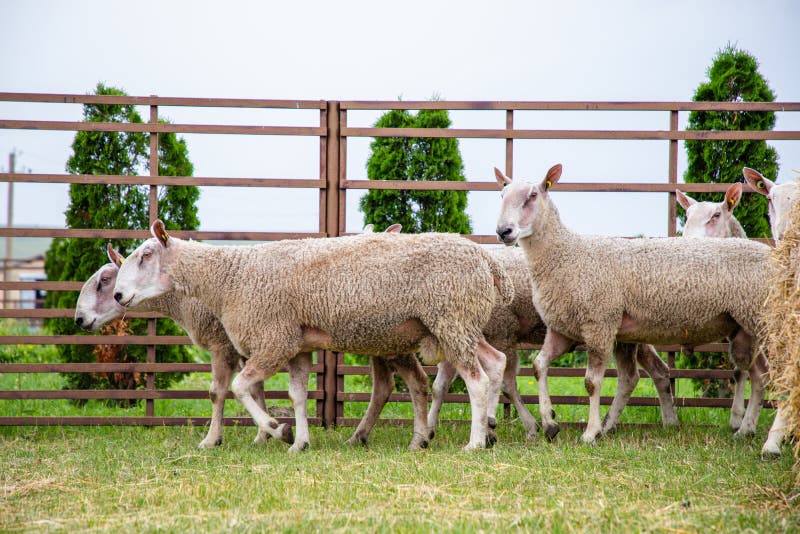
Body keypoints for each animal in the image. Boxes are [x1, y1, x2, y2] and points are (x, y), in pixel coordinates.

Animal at [74, 244, 306, 450]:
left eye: (104, 280)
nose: (79, 319)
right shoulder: (244, 348)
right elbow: (256, 390)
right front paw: (263, 435)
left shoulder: (223, 344)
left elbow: (218, 392)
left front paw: (212, 440)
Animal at [113, 220, 514, 451]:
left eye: (146, 254)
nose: (117, 295)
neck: (229, 277)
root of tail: (485, 258)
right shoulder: (296, 346)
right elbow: (297, 394)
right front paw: (300, 442)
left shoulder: (274, 338)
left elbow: (240, 388)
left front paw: (279, 431)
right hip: (459, 324)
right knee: (495, 362)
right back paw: (472, 432)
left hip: (452, 318)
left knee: (476, 380)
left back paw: (474, 443)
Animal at [495, 163, 771, 444]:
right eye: (502, 195)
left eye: (532, 196)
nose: (503, 231)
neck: (565, 255)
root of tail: (767, 251)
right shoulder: (562, 328)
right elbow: (539, 367)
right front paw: (549, 421)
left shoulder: (599, 324)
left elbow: (591, 383)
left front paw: (590, 432)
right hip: (743, 329)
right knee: (759, 375)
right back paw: (746, 429)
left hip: (760, 322)